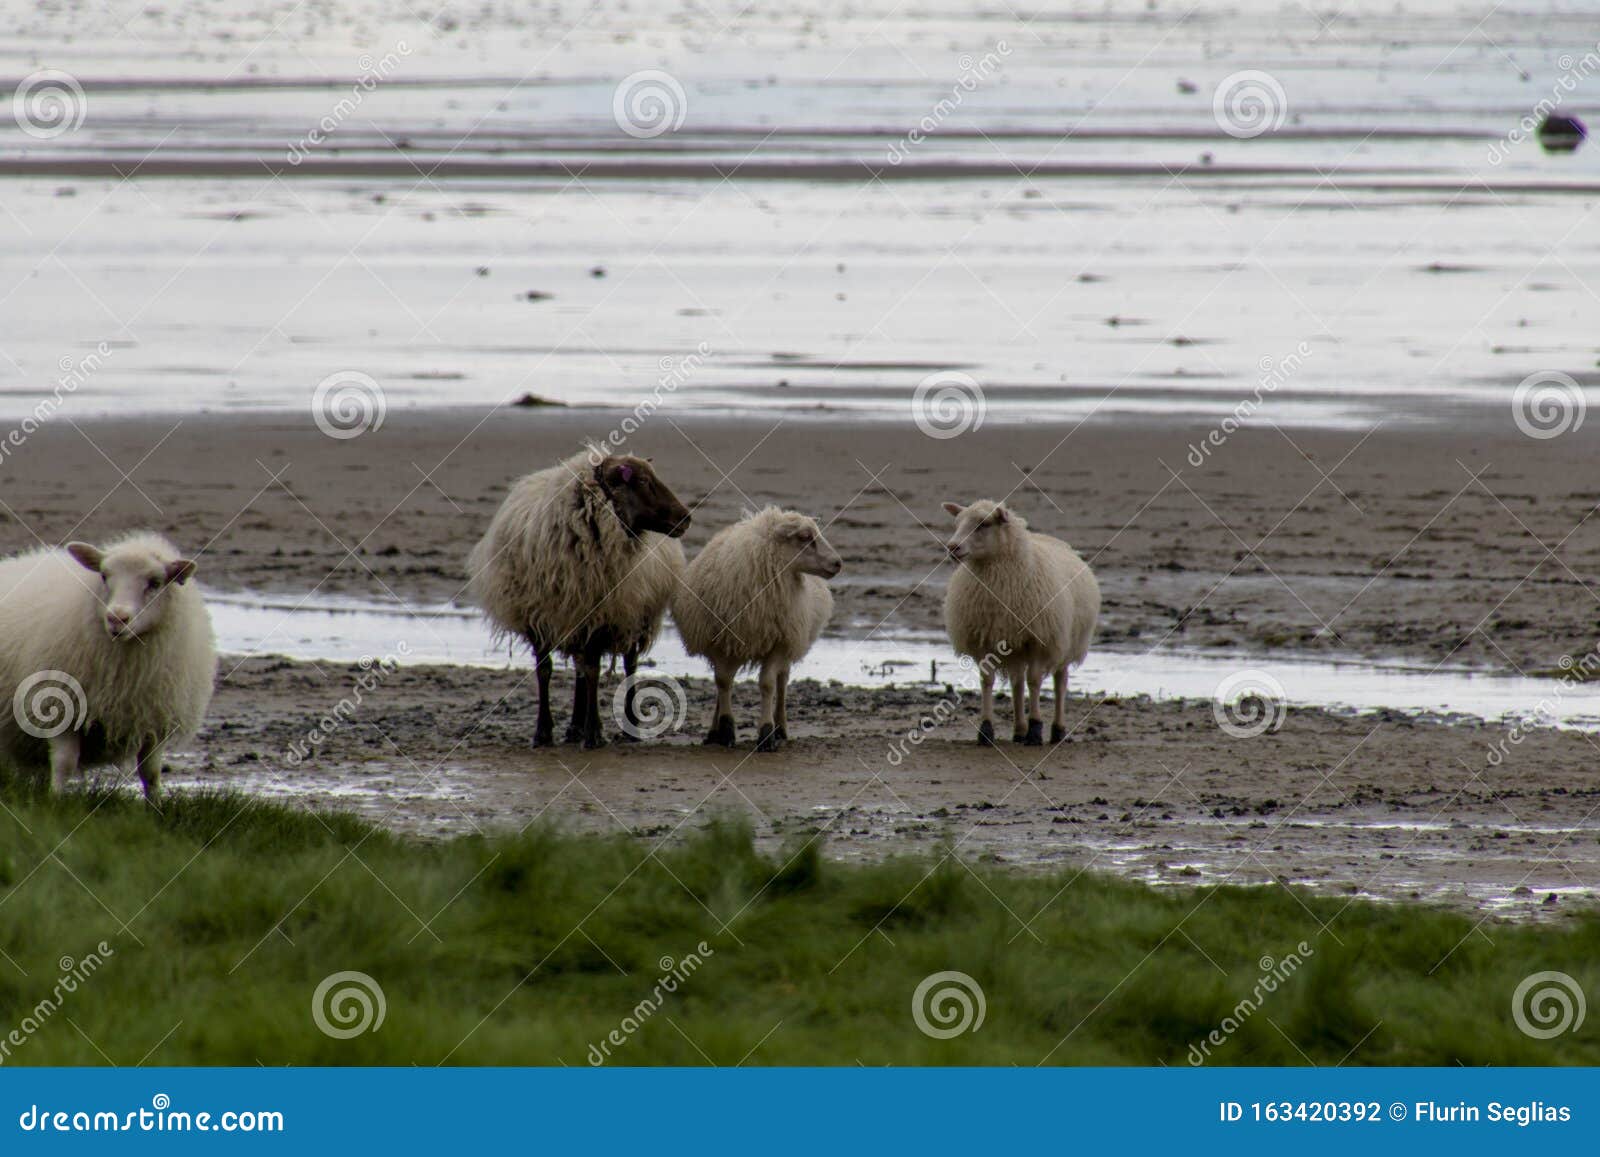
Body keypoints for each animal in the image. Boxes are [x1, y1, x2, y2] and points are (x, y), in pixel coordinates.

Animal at [0, 533, 216, 800]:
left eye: (155, 582)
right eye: (103, 576)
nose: (116, 618)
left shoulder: (155, 718)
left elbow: (151, 772)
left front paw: (156, 805)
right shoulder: (59, 707)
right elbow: (64, 763)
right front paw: (55, 800)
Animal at [467, 448, 691, 748]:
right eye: (643, 481)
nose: (686, 518)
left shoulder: (601, 614)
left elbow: (595, 670)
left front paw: (594, 733)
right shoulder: (538, 616)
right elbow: (546, 670)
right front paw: (544, 732)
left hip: (635, 614)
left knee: (629, 664)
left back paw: (628, 728)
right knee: (580, 669)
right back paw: (574, 727)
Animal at [672, 507, 841, 751]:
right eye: (805, 537)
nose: (838, 562)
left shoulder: (779, 643)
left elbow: (767, 685)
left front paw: (766, 733)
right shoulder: (721, 643)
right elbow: (723, 683)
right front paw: (726, 730)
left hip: (790, 641)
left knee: (782, 682)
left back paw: (781, 727)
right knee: (722, 685)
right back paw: (713, 731)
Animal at [941, 499, 1099, 746]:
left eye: (984, 524)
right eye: (957, 523)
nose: (952, 547)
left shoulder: (1038, 640)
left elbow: (1035, 682)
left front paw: (1035, 730)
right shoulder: (986, 639)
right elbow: (987, 681)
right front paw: (986, 730)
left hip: (1065, 641)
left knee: (1060, 681)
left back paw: (1057, 730)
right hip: (1014, 646)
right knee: (1017, 682)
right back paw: (1019, 730)